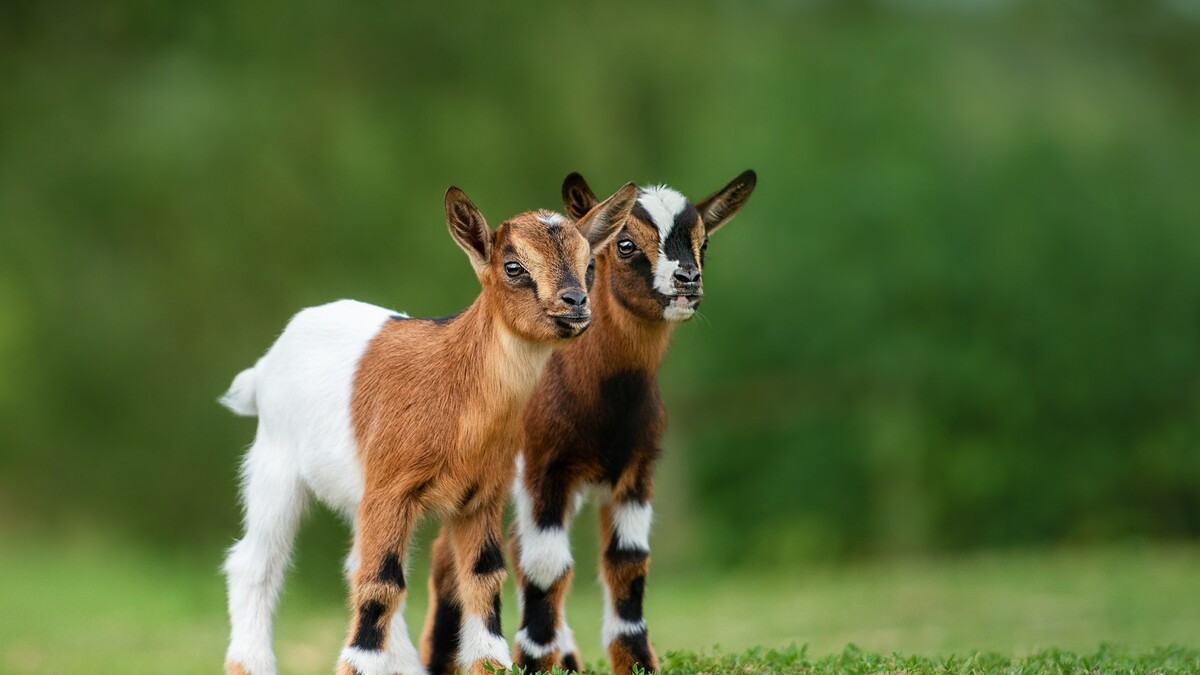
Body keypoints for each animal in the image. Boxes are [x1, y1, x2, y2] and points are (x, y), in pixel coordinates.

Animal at [220, 184, 637, 675]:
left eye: (589, 265)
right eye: (513, 267)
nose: (575, 303)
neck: (456, 388)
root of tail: (266, 364)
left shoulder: (481, 496)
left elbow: (483, 575)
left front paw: (491, 662)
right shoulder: (391, 490)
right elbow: (382, 581)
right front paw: (358, 666)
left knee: (354, 563)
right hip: (276, 465)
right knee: (257, 562)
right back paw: (251, 662)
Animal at [421, 171, 756, 675]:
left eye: (705, 241)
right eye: (625, 244)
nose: (687, 280)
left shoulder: (635, 470)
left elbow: (627, 560)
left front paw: (637, 663)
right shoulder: (543, 468)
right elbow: (546, 564)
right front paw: (533, 661)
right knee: (452, 557)